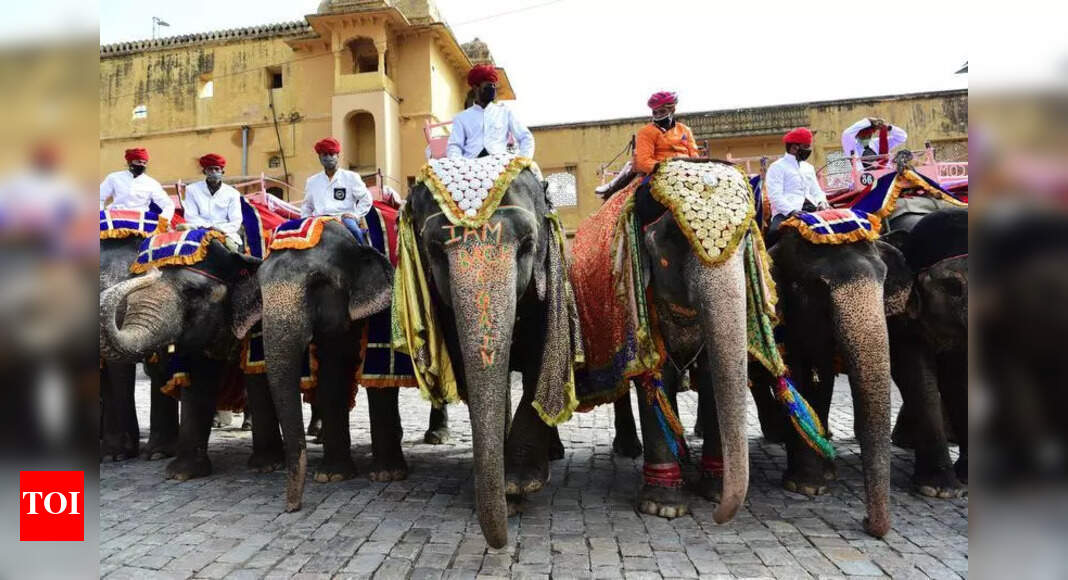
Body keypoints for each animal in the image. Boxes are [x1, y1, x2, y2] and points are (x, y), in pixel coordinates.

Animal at [257, 218, 404, 510]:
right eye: (259, 285)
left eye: (318, 283)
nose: (291, 507)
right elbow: (332, 376)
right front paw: (332, 476)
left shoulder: (384, 311)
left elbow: (381, 384)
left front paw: (386, 475)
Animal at [747, 227, 911, 538]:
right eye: (818, 286)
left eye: (883, 280)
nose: (867, 522)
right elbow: (797, 371)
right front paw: (806, 486)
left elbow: (822, 378)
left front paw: (824, 474)